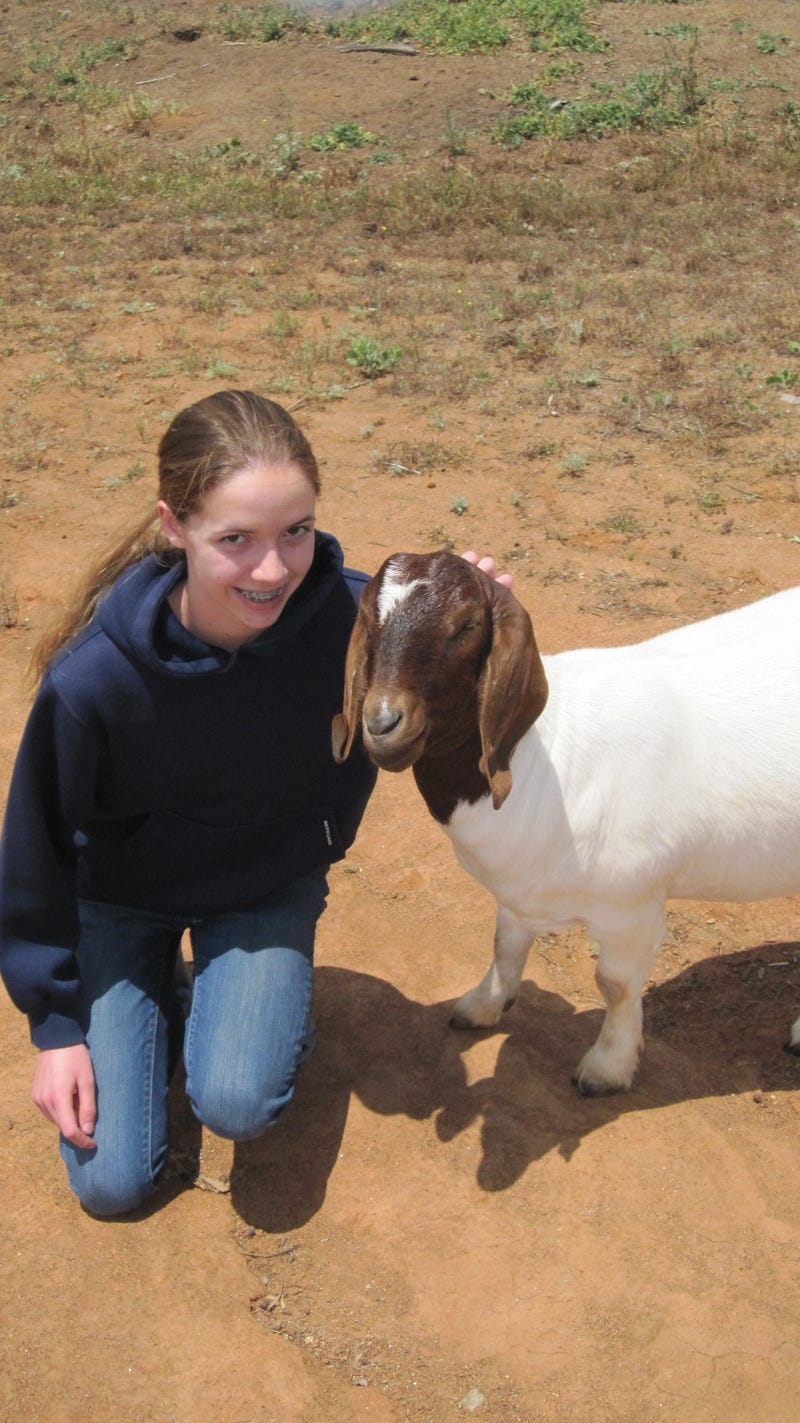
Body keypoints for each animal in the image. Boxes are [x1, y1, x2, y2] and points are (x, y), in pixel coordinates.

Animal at [332, 550, 800, 1094]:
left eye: (467, 624)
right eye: (368, 618)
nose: (382, 724)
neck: (538, 759)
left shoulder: (631, 907)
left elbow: (615, 986)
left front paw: (608, 1067)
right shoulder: (517, 895)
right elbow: (506, 946)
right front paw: (483, 1006)